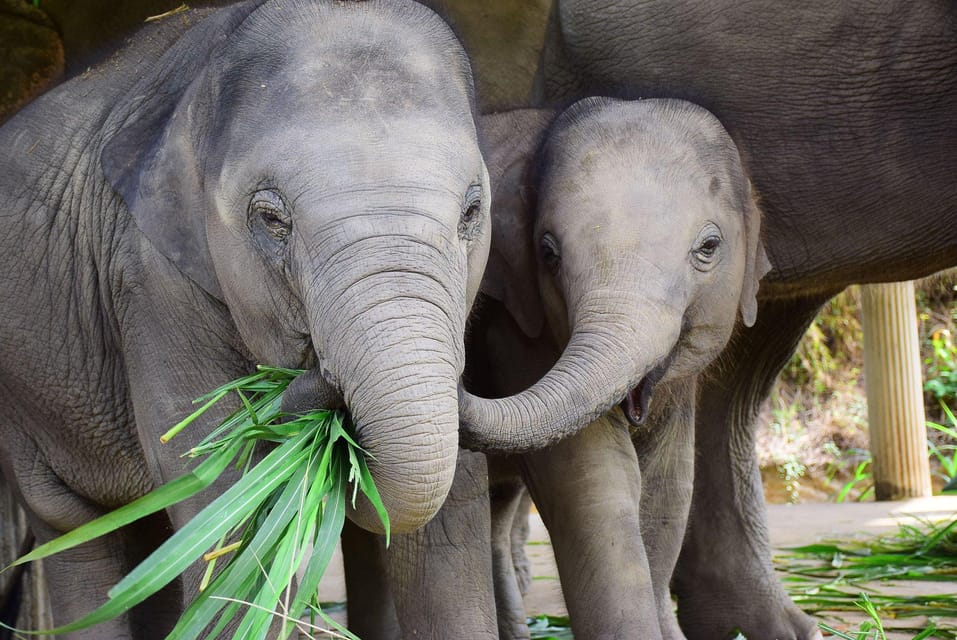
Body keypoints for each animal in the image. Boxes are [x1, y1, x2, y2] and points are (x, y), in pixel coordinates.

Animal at [0, 0, 510, 636]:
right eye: (271, 219)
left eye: (472, 211)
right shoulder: (149, 279)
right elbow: (218, 484)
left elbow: (451, 507)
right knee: (76, 533)